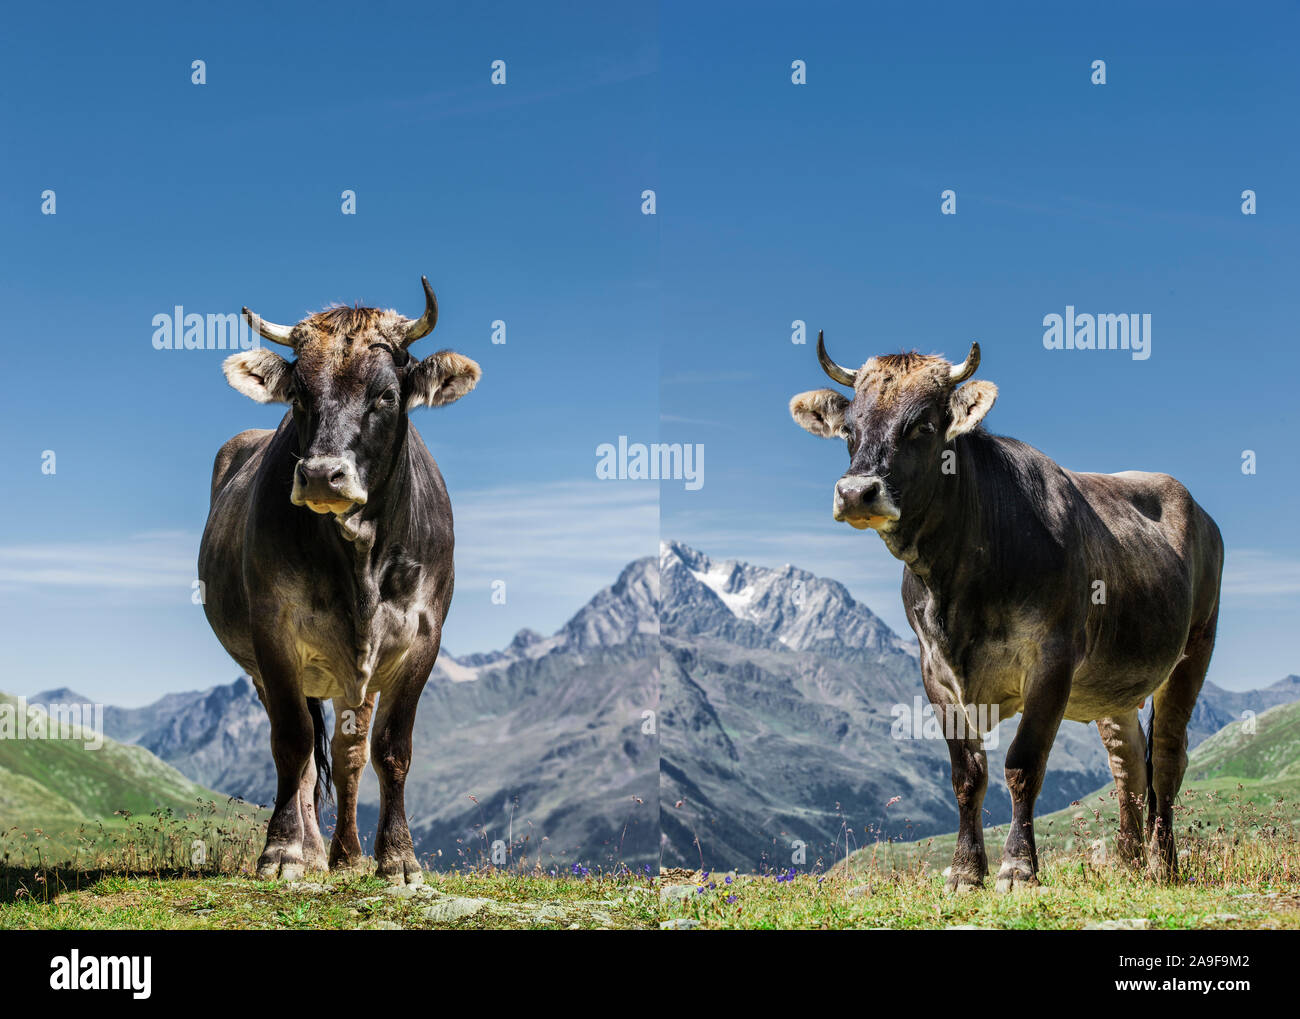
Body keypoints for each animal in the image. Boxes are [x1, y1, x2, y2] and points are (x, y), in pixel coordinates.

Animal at [198, 277, 480, 884]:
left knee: (349, 757)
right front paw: (282, 852)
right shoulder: (275, 633)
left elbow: (391, 749)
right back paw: (308, 850)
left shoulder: (421, 637)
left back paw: (347, 853)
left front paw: (397, 858)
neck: (361, 565)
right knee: (304, 755)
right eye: (300, 395)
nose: (321, 474)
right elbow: (292, 743)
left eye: (387, 396)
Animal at [789, 334, 1223, 889]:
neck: (957, 586)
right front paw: (964, 871)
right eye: (849, 428)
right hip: (1112, 680)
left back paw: (1161, 864)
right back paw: (1126, 864)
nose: (855, 492)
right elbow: (967, 775)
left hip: (1195, 647)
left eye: (923, 426)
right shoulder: (933, 669)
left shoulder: (1052, 660)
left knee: (1166, 755)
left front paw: (1018, 868)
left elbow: (1023, 765)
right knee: (1128, 761)